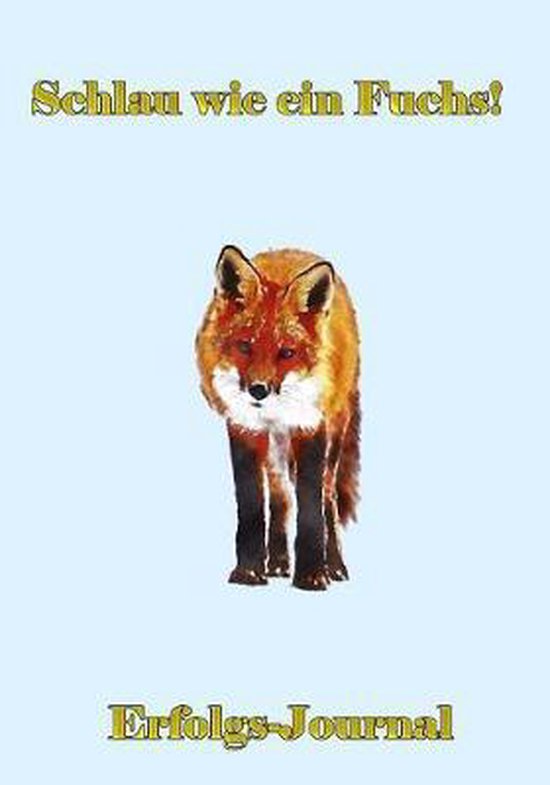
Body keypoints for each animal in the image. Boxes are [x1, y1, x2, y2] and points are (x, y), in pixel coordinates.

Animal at [195, 245, 360, 591]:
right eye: (245, 346)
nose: (259, 390)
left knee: (327, 495)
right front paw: (248, 571)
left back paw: (335, 565)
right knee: (280, 495)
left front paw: (312, 574)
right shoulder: (243, 427)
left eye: (286, 353)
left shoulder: (311, 426)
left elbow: (310, 508)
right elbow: (252, 505)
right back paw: (278, 561)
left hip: (335, 431)